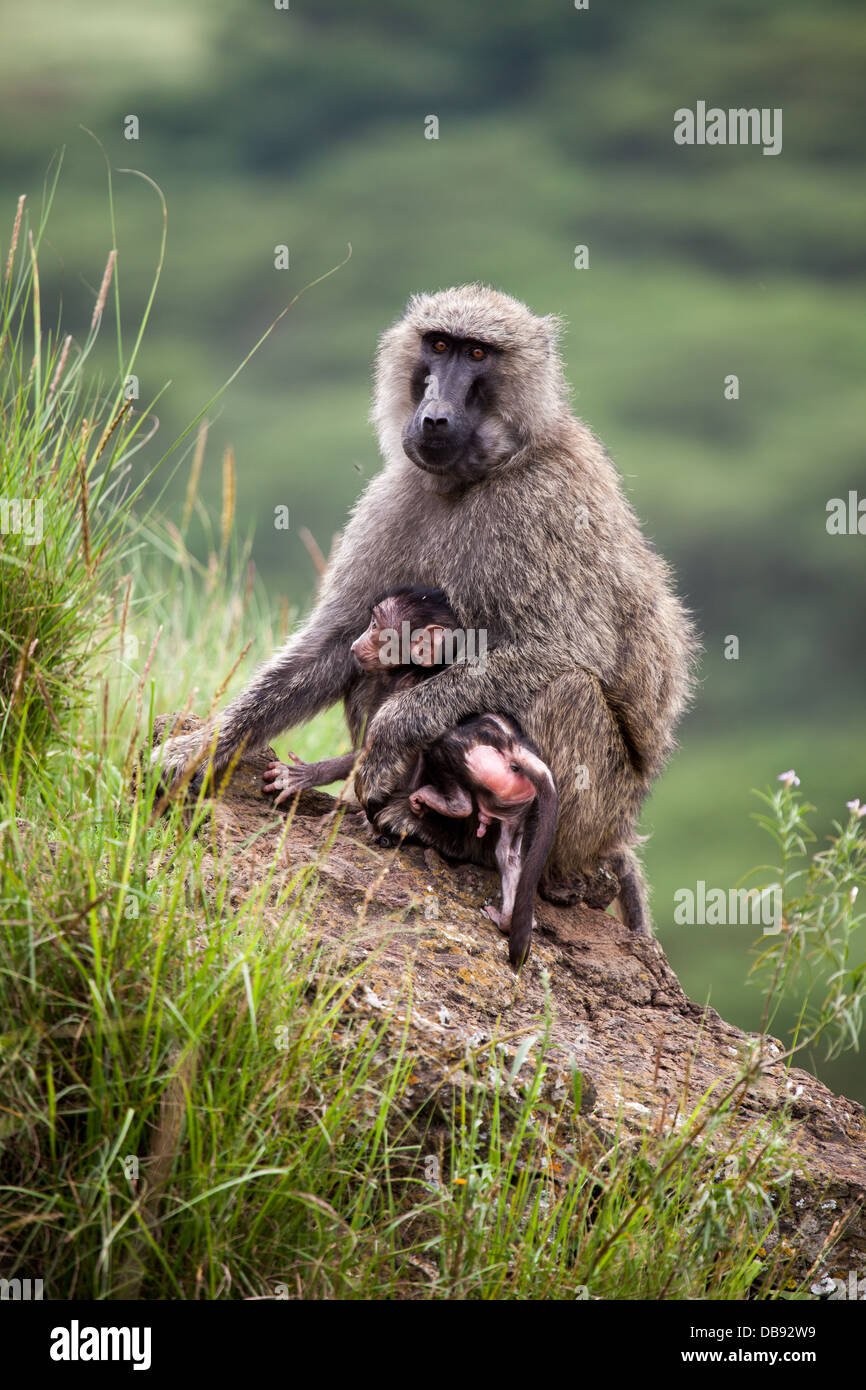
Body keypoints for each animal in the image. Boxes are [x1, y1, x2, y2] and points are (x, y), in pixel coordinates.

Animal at [262, 587, 558, 967]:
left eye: (375, 626)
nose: (355, 644)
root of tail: (514, 746)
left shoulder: (403, 685)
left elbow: (374, 749)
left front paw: (304, 776)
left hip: (480, 758)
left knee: (440, 745)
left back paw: (439, 805)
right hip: (515, 800)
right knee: (508, 854)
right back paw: (507, 915)